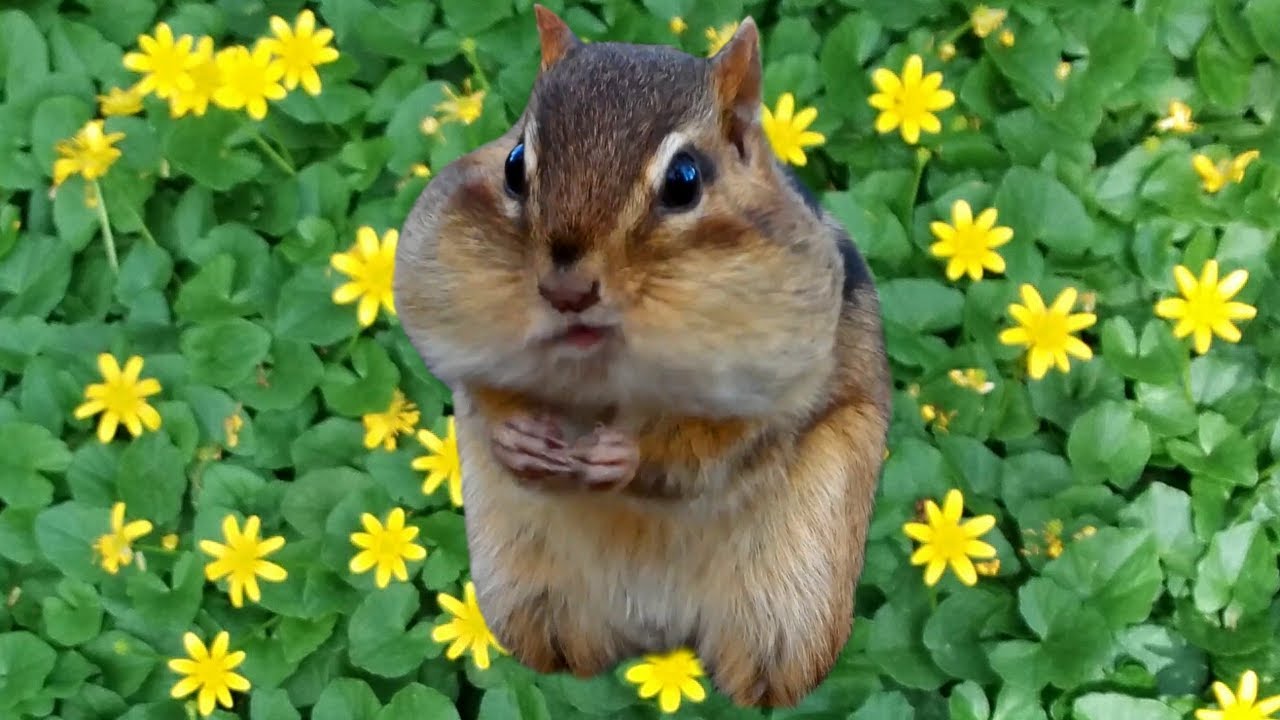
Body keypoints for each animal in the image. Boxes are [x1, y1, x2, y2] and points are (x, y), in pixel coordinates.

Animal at [394, 5, 891, 708]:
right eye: (515, 164)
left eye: (685, 180)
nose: (566, 291)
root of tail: (661, 636)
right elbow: (483, 393)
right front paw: (518, 437)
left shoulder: (779, 381)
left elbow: (718, 444)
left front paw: (624, 454)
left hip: (795, 597)